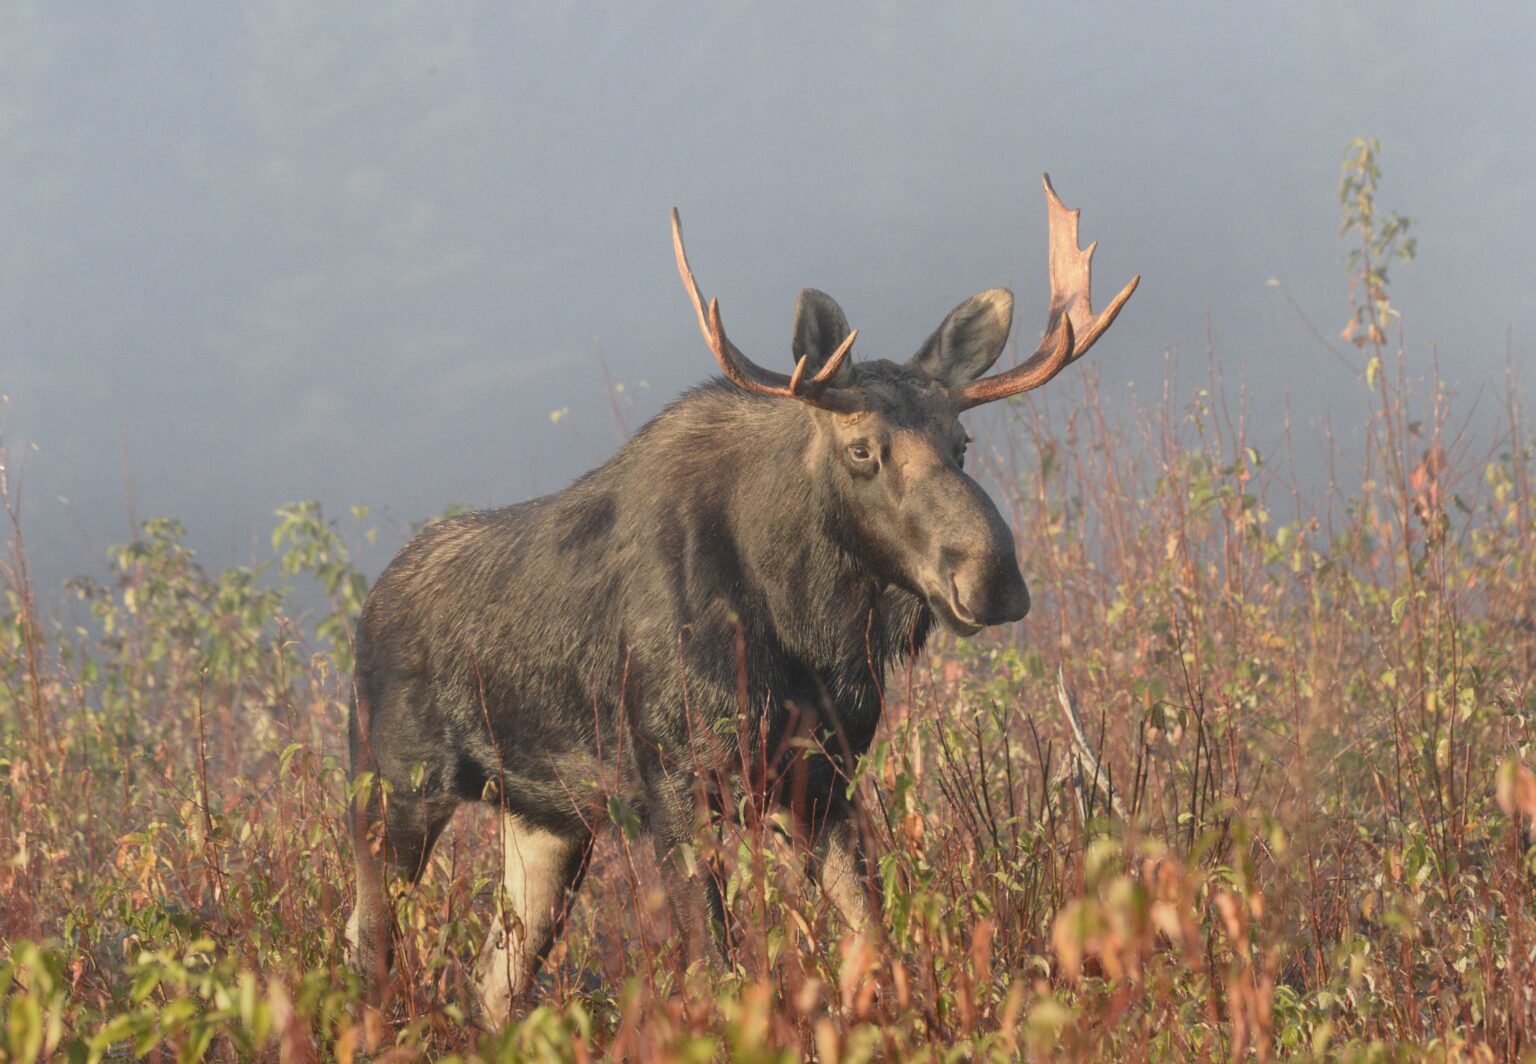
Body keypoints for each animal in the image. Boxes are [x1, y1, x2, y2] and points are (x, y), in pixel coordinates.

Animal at [345, 175, 1138, 1020]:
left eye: (962, 444)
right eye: (863, 450)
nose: (992, 577)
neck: (806, 629)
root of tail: (366, 616)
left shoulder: (822, 779)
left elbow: (871, 942)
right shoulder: (675, 781)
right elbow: (715, 971)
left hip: (547, 819)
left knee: (492, 984)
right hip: (393, 790)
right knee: (366, 947)